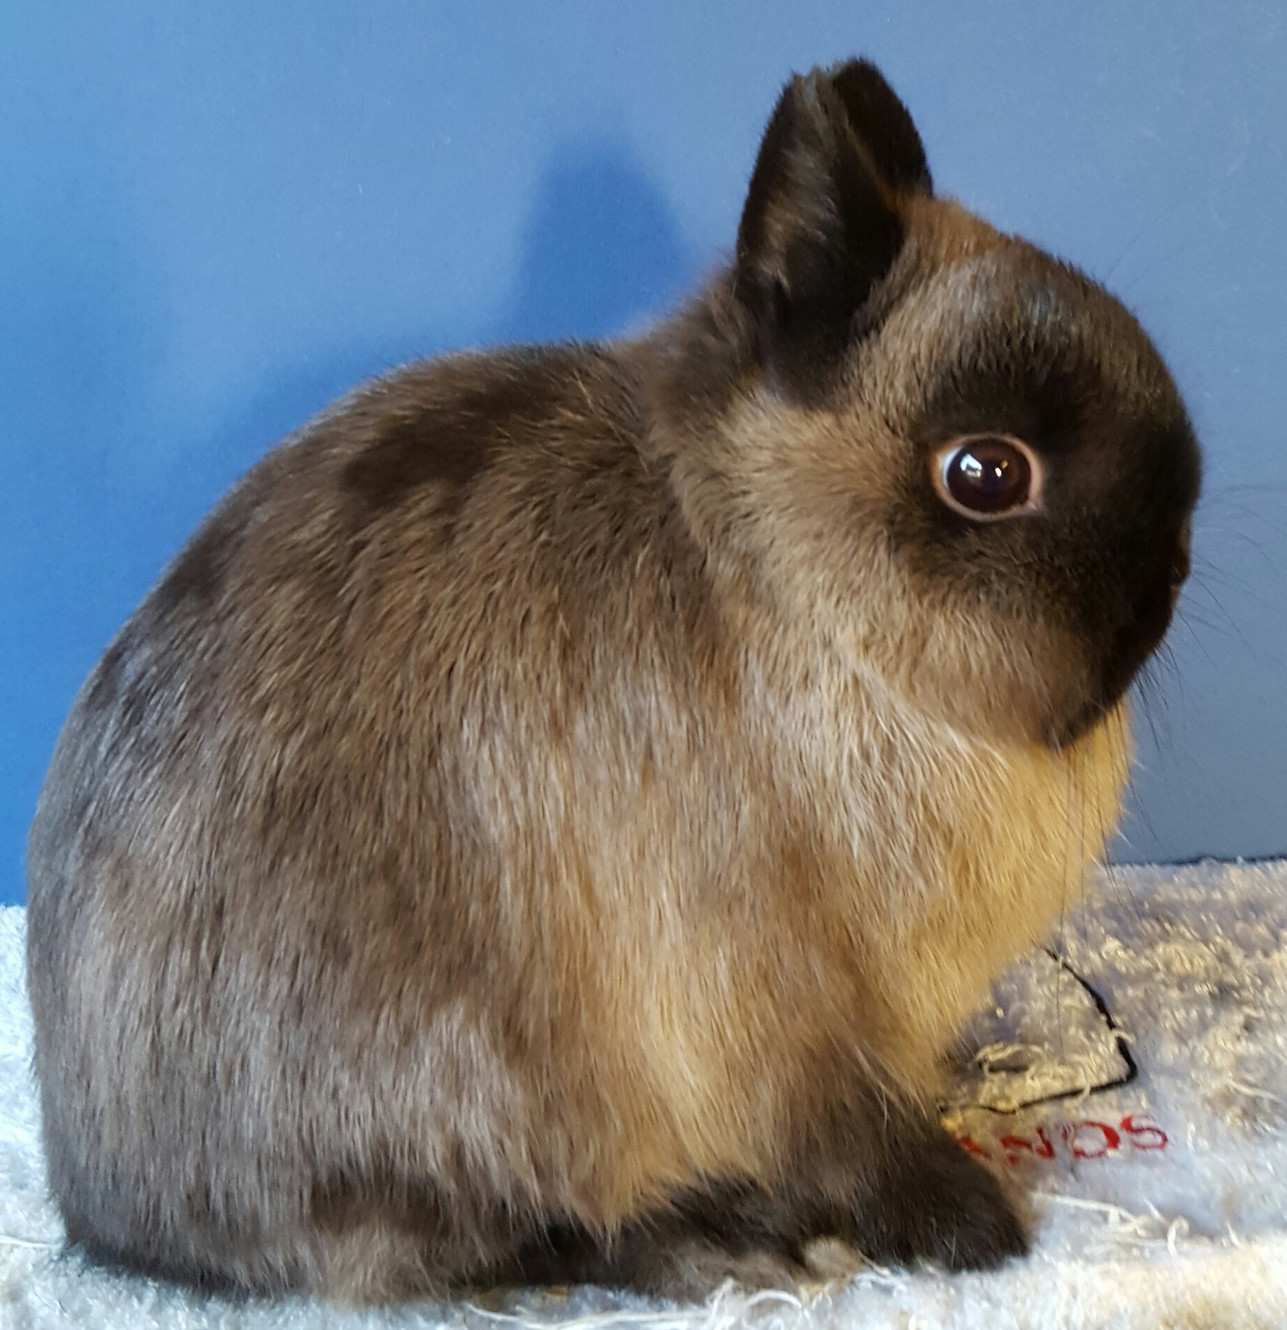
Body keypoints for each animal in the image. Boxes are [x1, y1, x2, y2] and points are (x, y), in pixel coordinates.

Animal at [26, 57, 1200, 1303]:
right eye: (984, 473)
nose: (1169, 577)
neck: (789, 590)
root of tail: (106, 1204)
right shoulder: (775, 1007)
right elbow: (854, 1137)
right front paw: (975, 1225)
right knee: (508, 1238)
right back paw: (739, 1241)